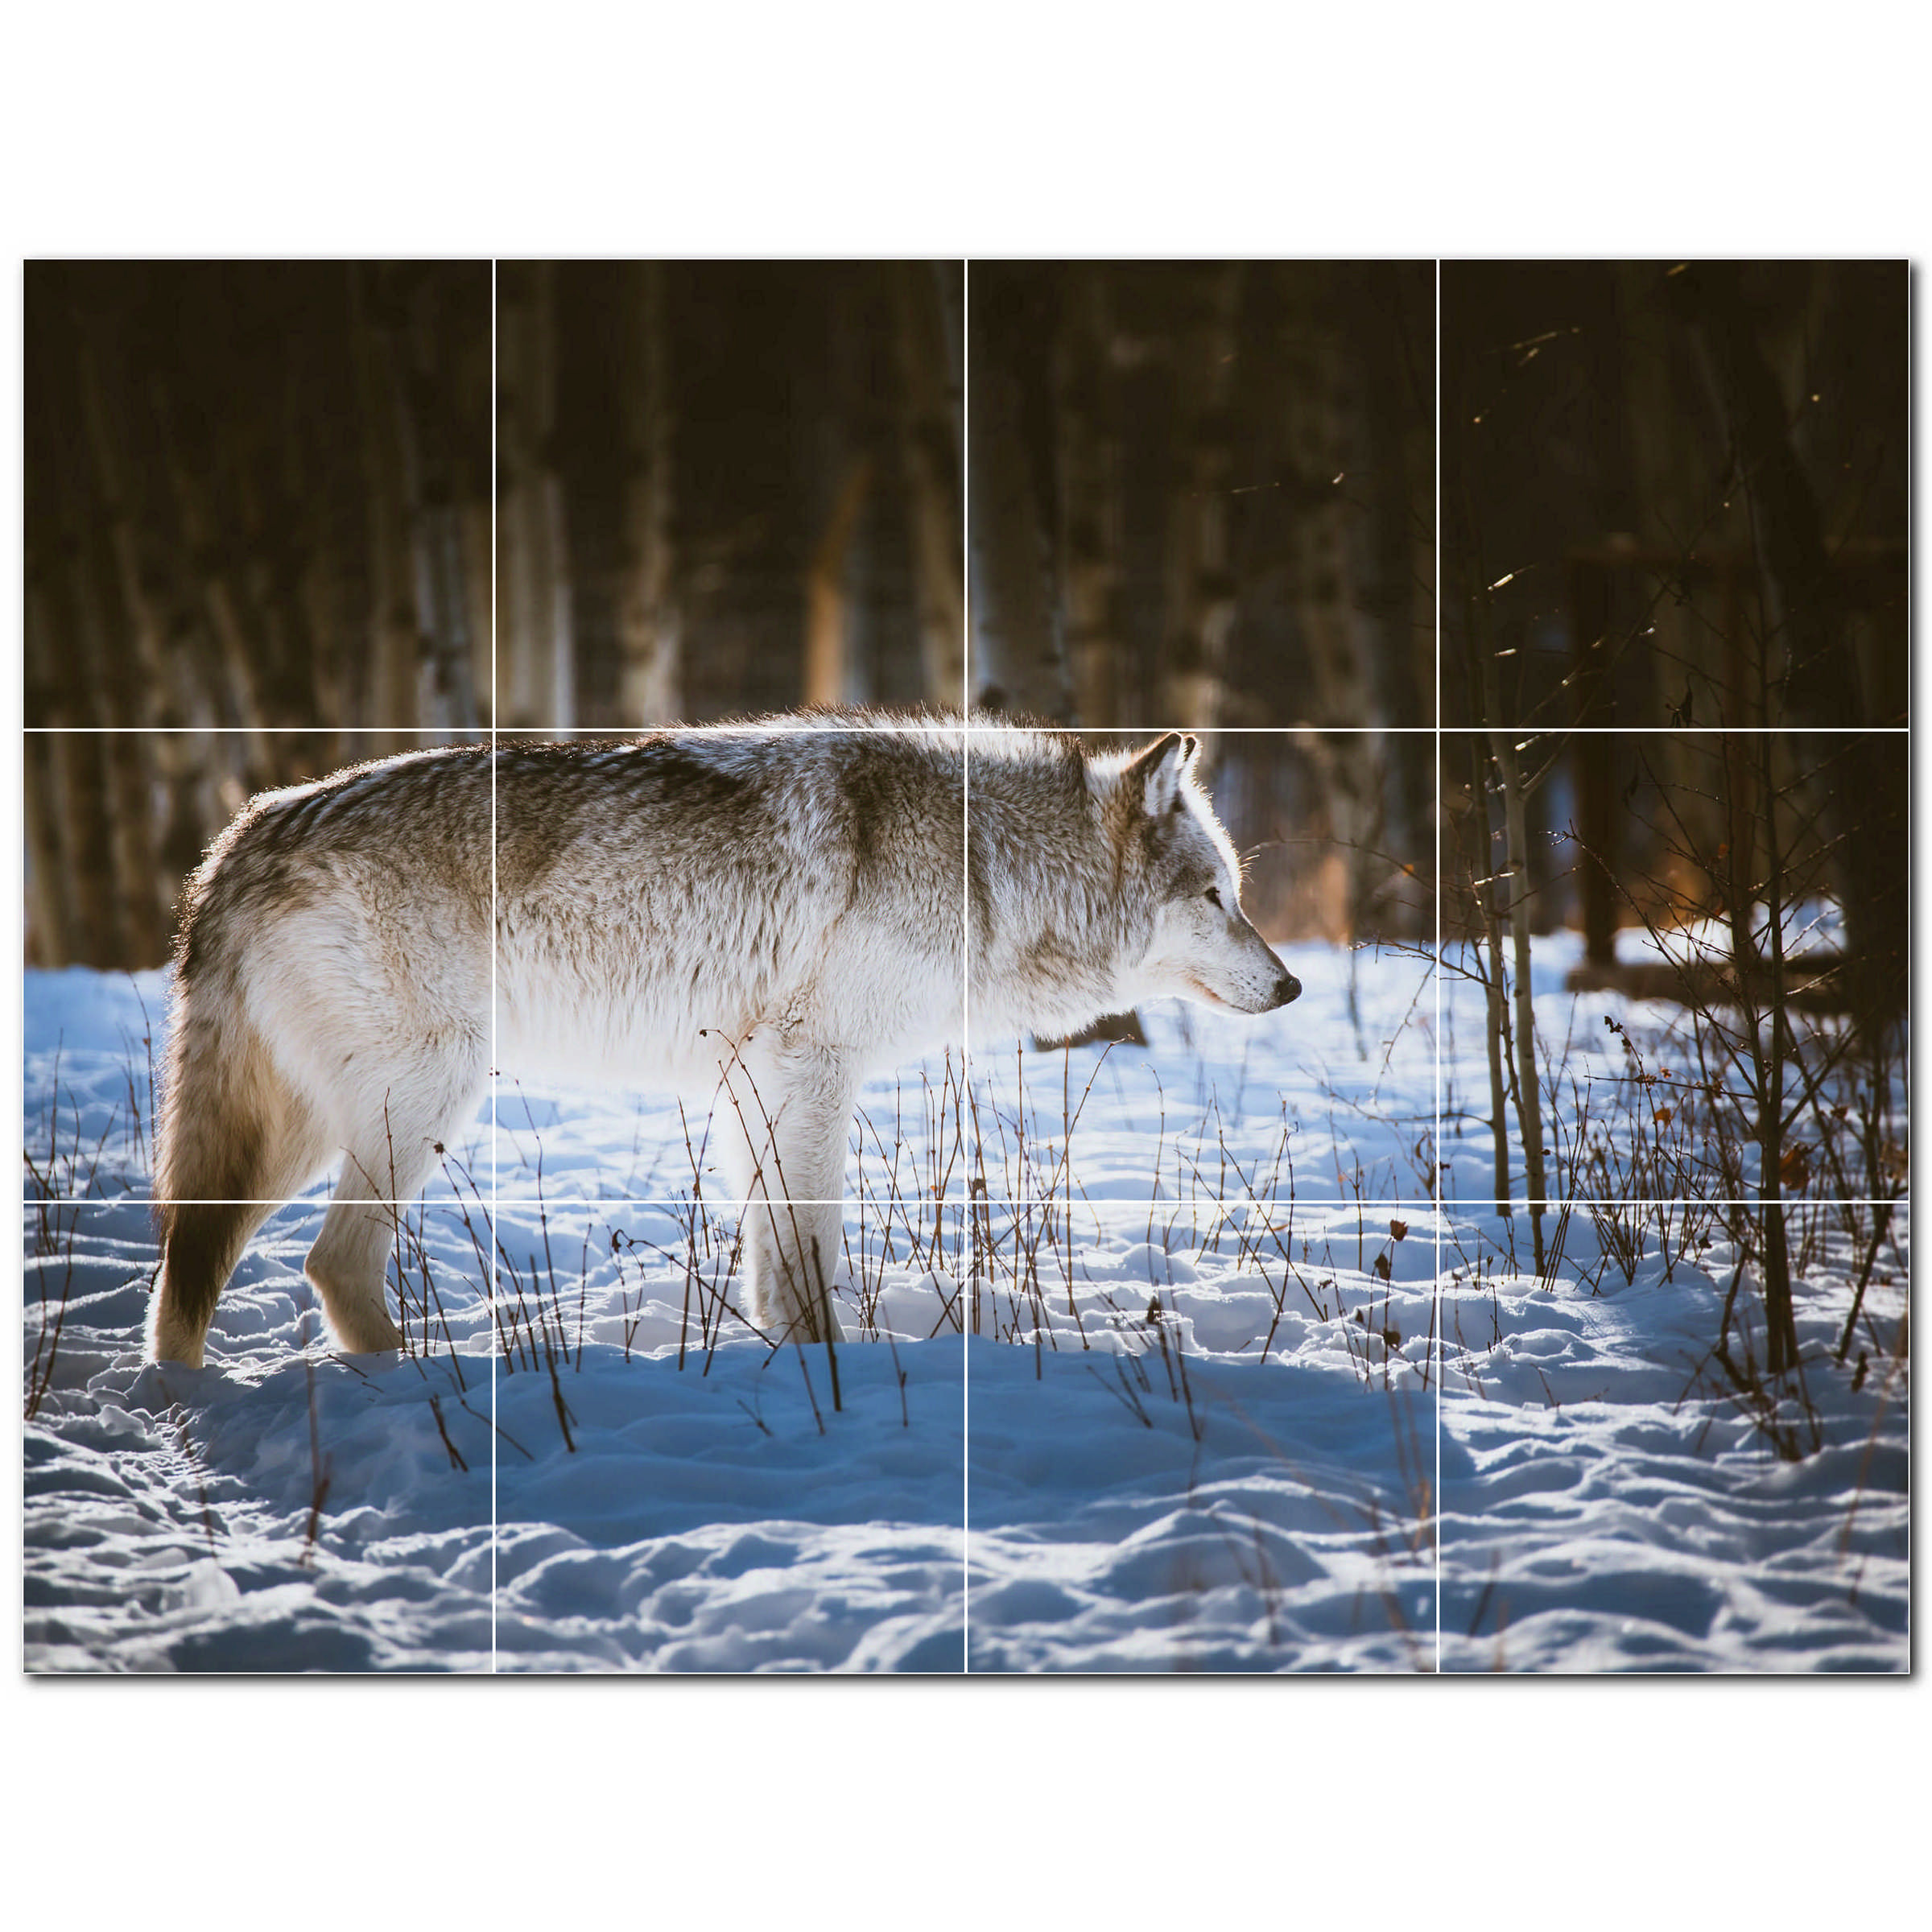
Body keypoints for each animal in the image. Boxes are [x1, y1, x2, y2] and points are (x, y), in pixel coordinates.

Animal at [148, 714, 1299, 1365]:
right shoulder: (812, 1071)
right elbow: (807, 1250)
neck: (987, 863)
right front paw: (829, 1369)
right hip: (422, 1100)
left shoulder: (759, 1082)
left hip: (299, 1136)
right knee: (327, 1264)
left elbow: (768, 1256)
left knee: (194, 1269)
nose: (1290, 985)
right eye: (1216, 897)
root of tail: (242, 836)